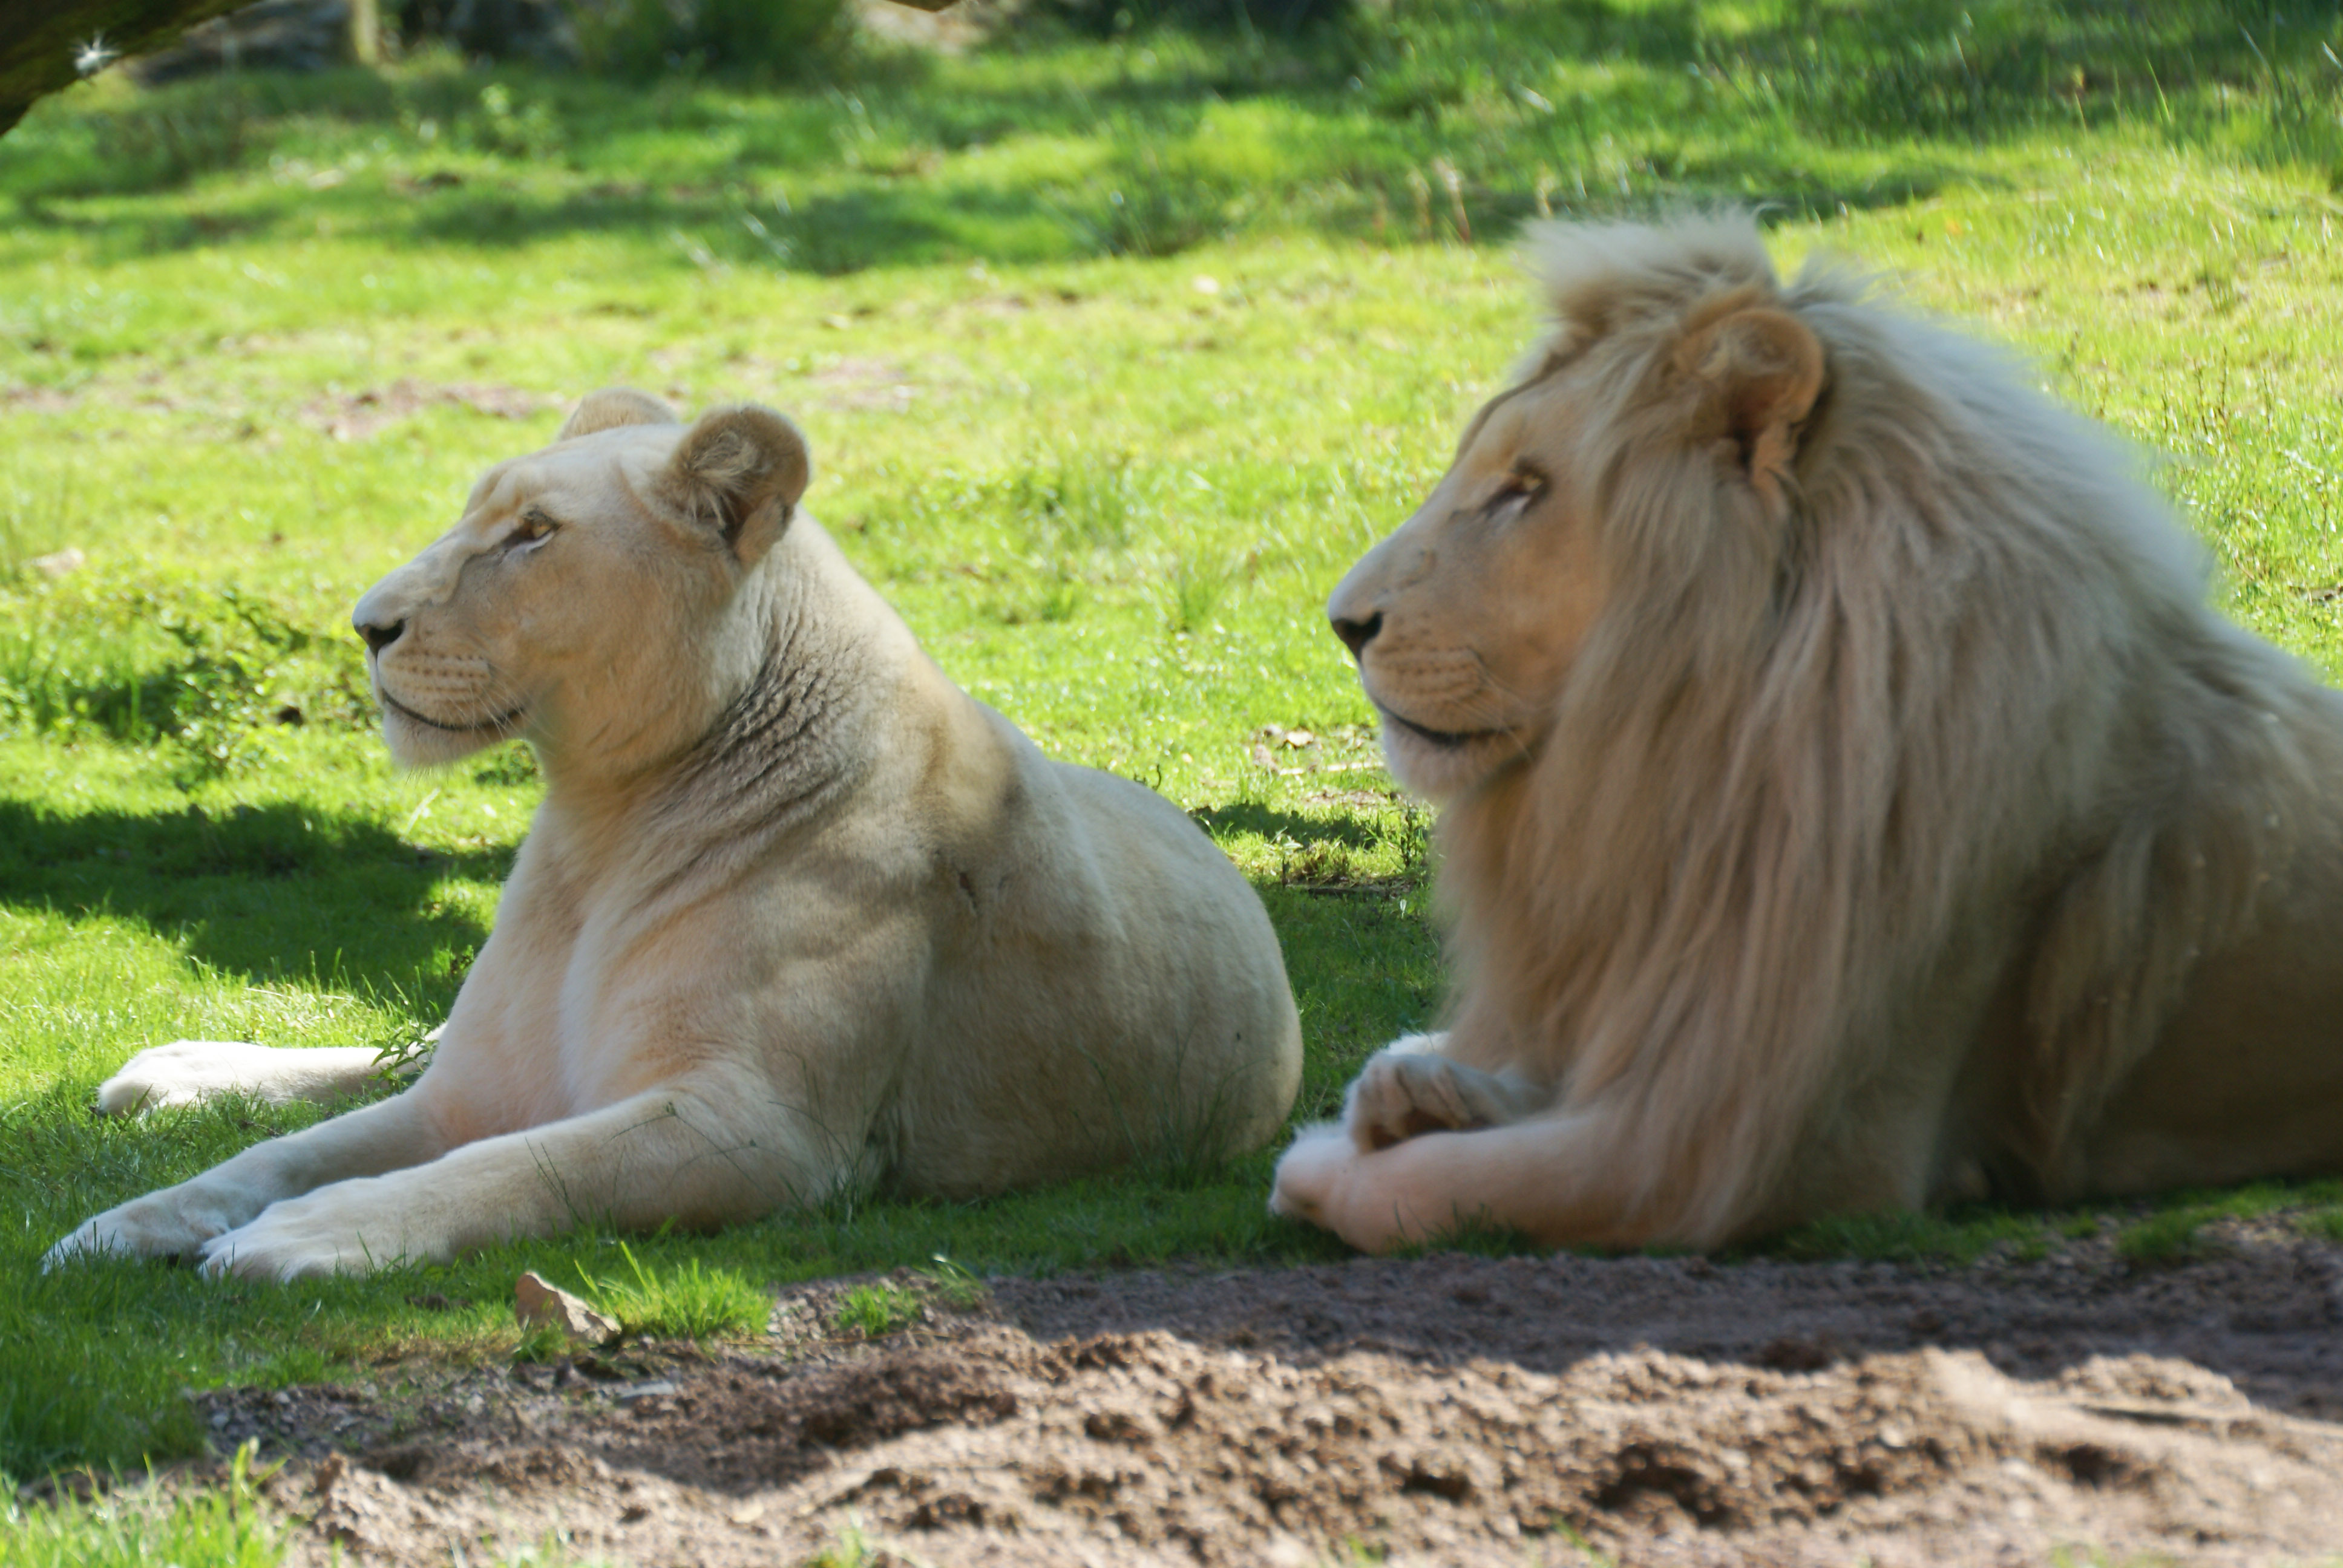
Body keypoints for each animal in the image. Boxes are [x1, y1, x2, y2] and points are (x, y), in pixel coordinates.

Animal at [48, 389, 1302, 1280]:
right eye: (474, 515)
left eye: (533, 534)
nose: (368, 626)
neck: (596, 828)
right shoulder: (473, 1089)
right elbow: (281, 1153)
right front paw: (117, 1226)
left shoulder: (764, 1129)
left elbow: (513, 1165)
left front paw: (294, 1238)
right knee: (394, 1050)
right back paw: (174, 1072)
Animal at [1271, 213, 2343, 1254]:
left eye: (1525, 489)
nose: (1342, 623)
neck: (1686, 749)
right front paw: (1418, 1091)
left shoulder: (1753, 1145)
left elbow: (1440, 1188)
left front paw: (1330, 1162)